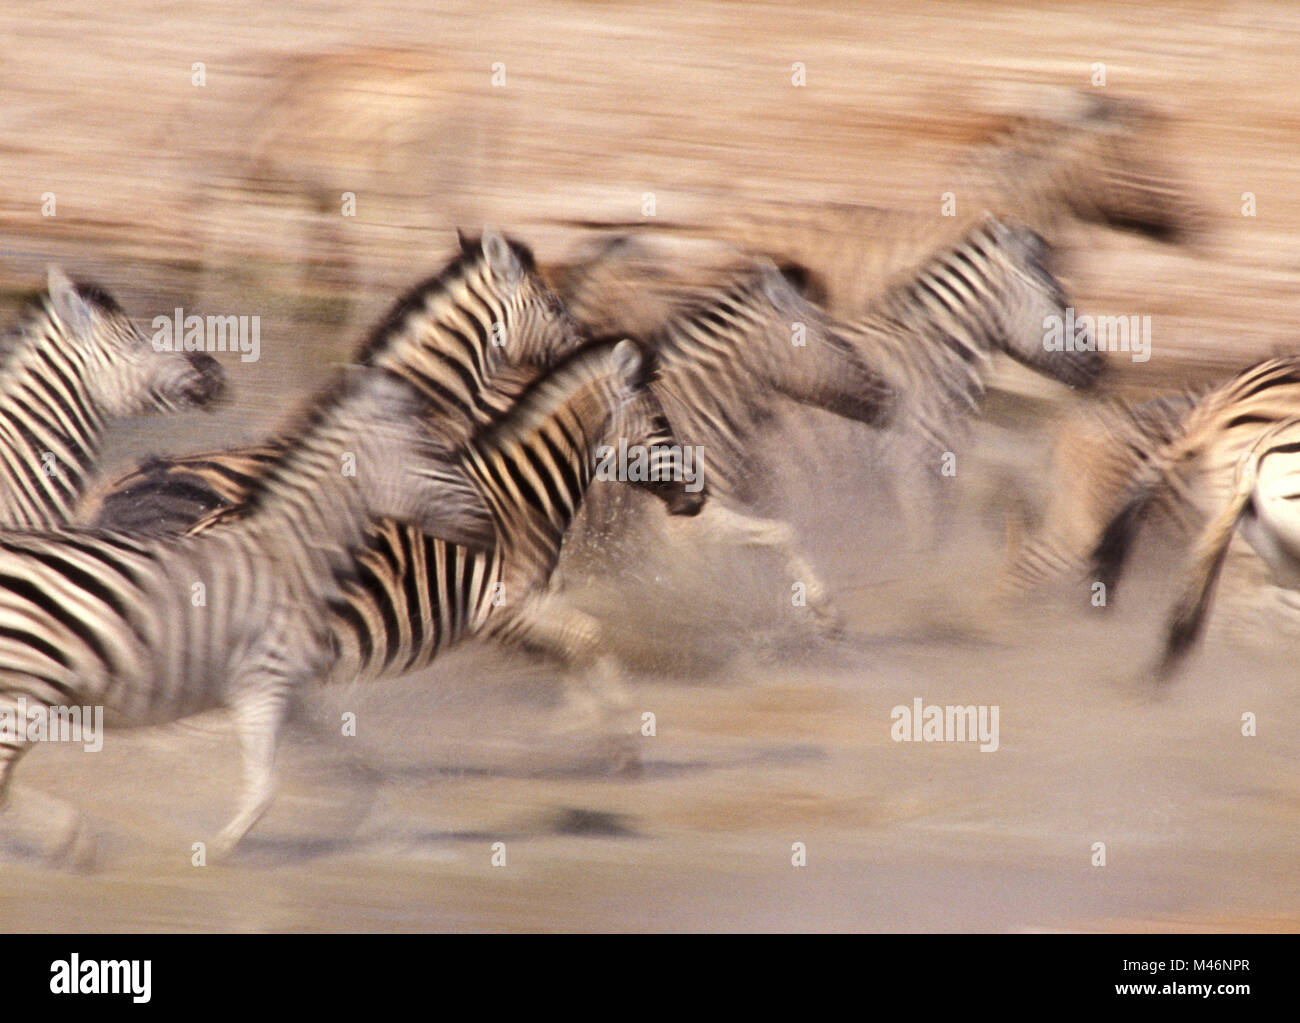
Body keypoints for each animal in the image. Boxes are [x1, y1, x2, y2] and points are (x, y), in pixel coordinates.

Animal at [0, 367, 497, 859]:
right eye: (437, 456)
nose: (491, 526)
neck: (290, 551)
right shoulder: (264, 680)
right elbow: (265, 785)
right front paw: (220, 849)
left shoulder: (280, 687)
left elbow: (325, 758)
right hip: (26, 691)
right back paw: (71, 838)